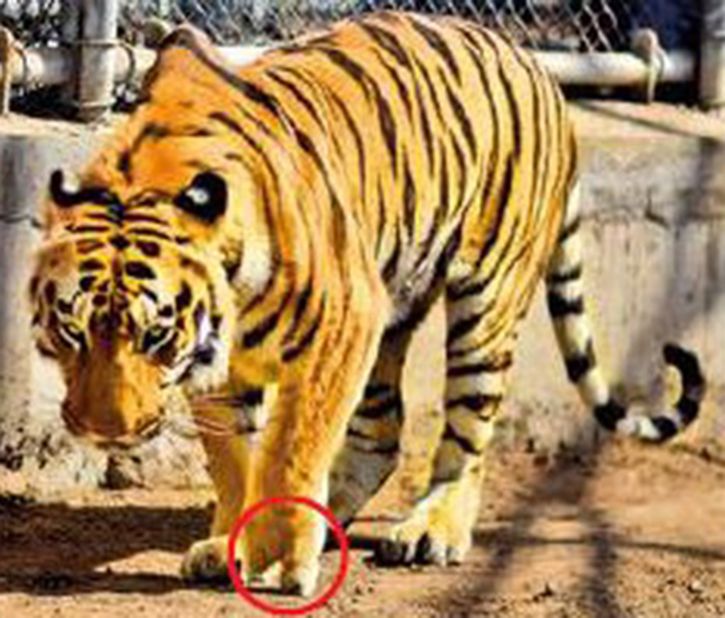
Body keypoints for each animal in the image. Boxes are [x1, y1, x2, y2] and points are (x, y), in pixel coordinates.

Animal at [28, 11, 705, 597]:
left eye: (154, 336)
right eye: (73, 330)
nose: (106, 433)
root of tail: (543, 74)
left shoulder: (339, 323)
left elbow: (290, 450)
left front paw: (277, 557)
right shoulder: (225, 360)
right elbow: (235, 459)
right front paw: (233, 542)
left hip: (485, 298)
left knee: (468, 433)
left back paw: (432, 531)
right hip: (394, 310)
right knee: (382, 430)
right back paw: (332, 517)